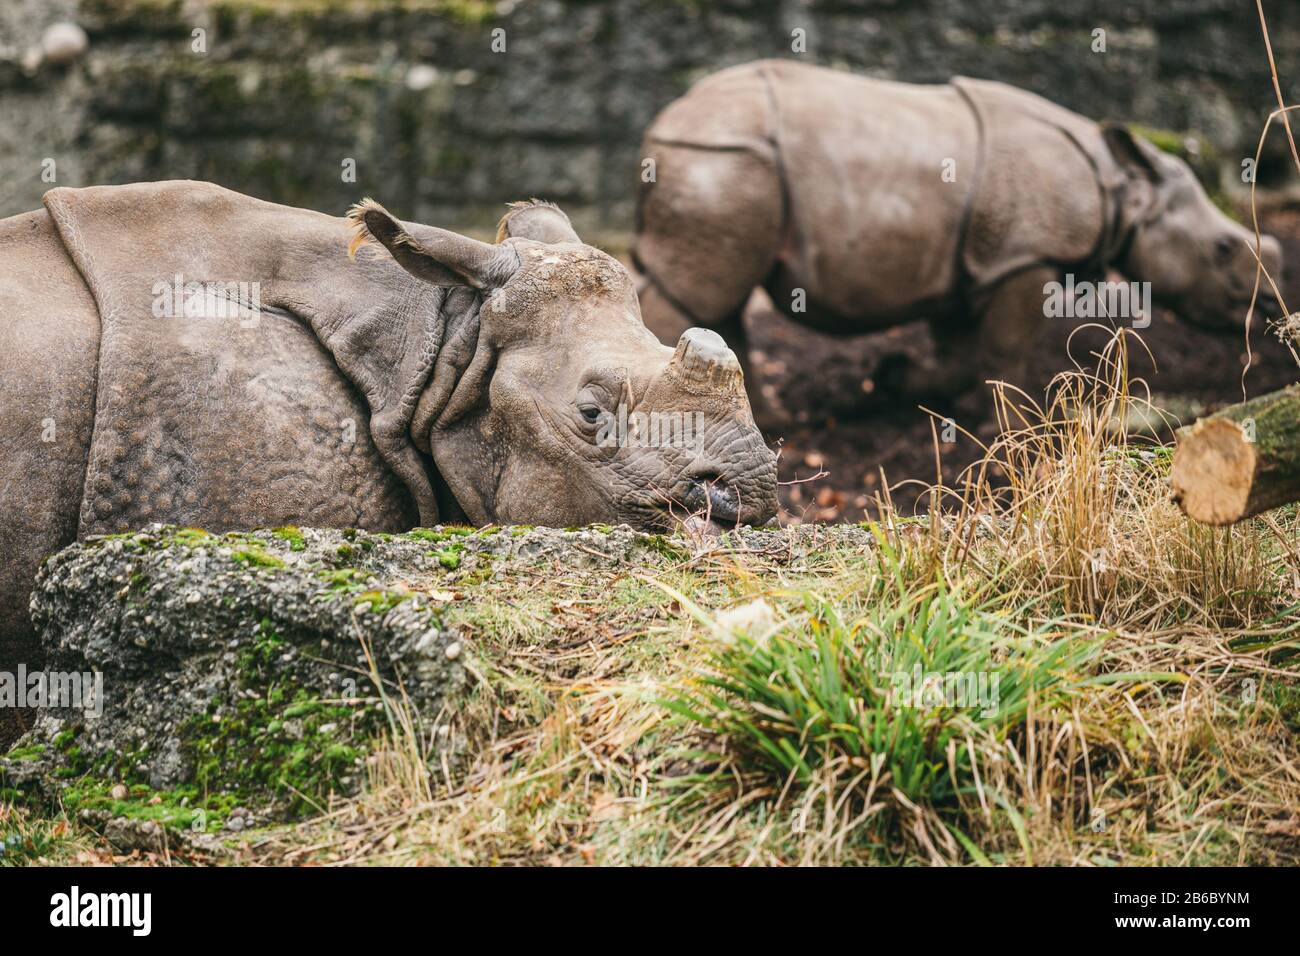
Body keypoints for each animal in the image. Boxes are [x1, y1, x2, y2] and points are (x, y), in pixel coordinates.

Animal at [632, 60, 1284, 419]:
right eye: (1224, 249)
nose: (1271, 310)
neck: (1124, 189)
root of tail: (661, 126)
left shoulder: (971, 261)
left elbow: (959, 352)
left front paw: (898, 381)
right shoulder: (1024, 256)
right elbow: (1004, 351)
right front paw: (1015, 430)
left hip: (730, 160)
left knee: (719, 297)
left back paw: (779, 421)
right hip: (727, 158)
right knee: (700, 290)